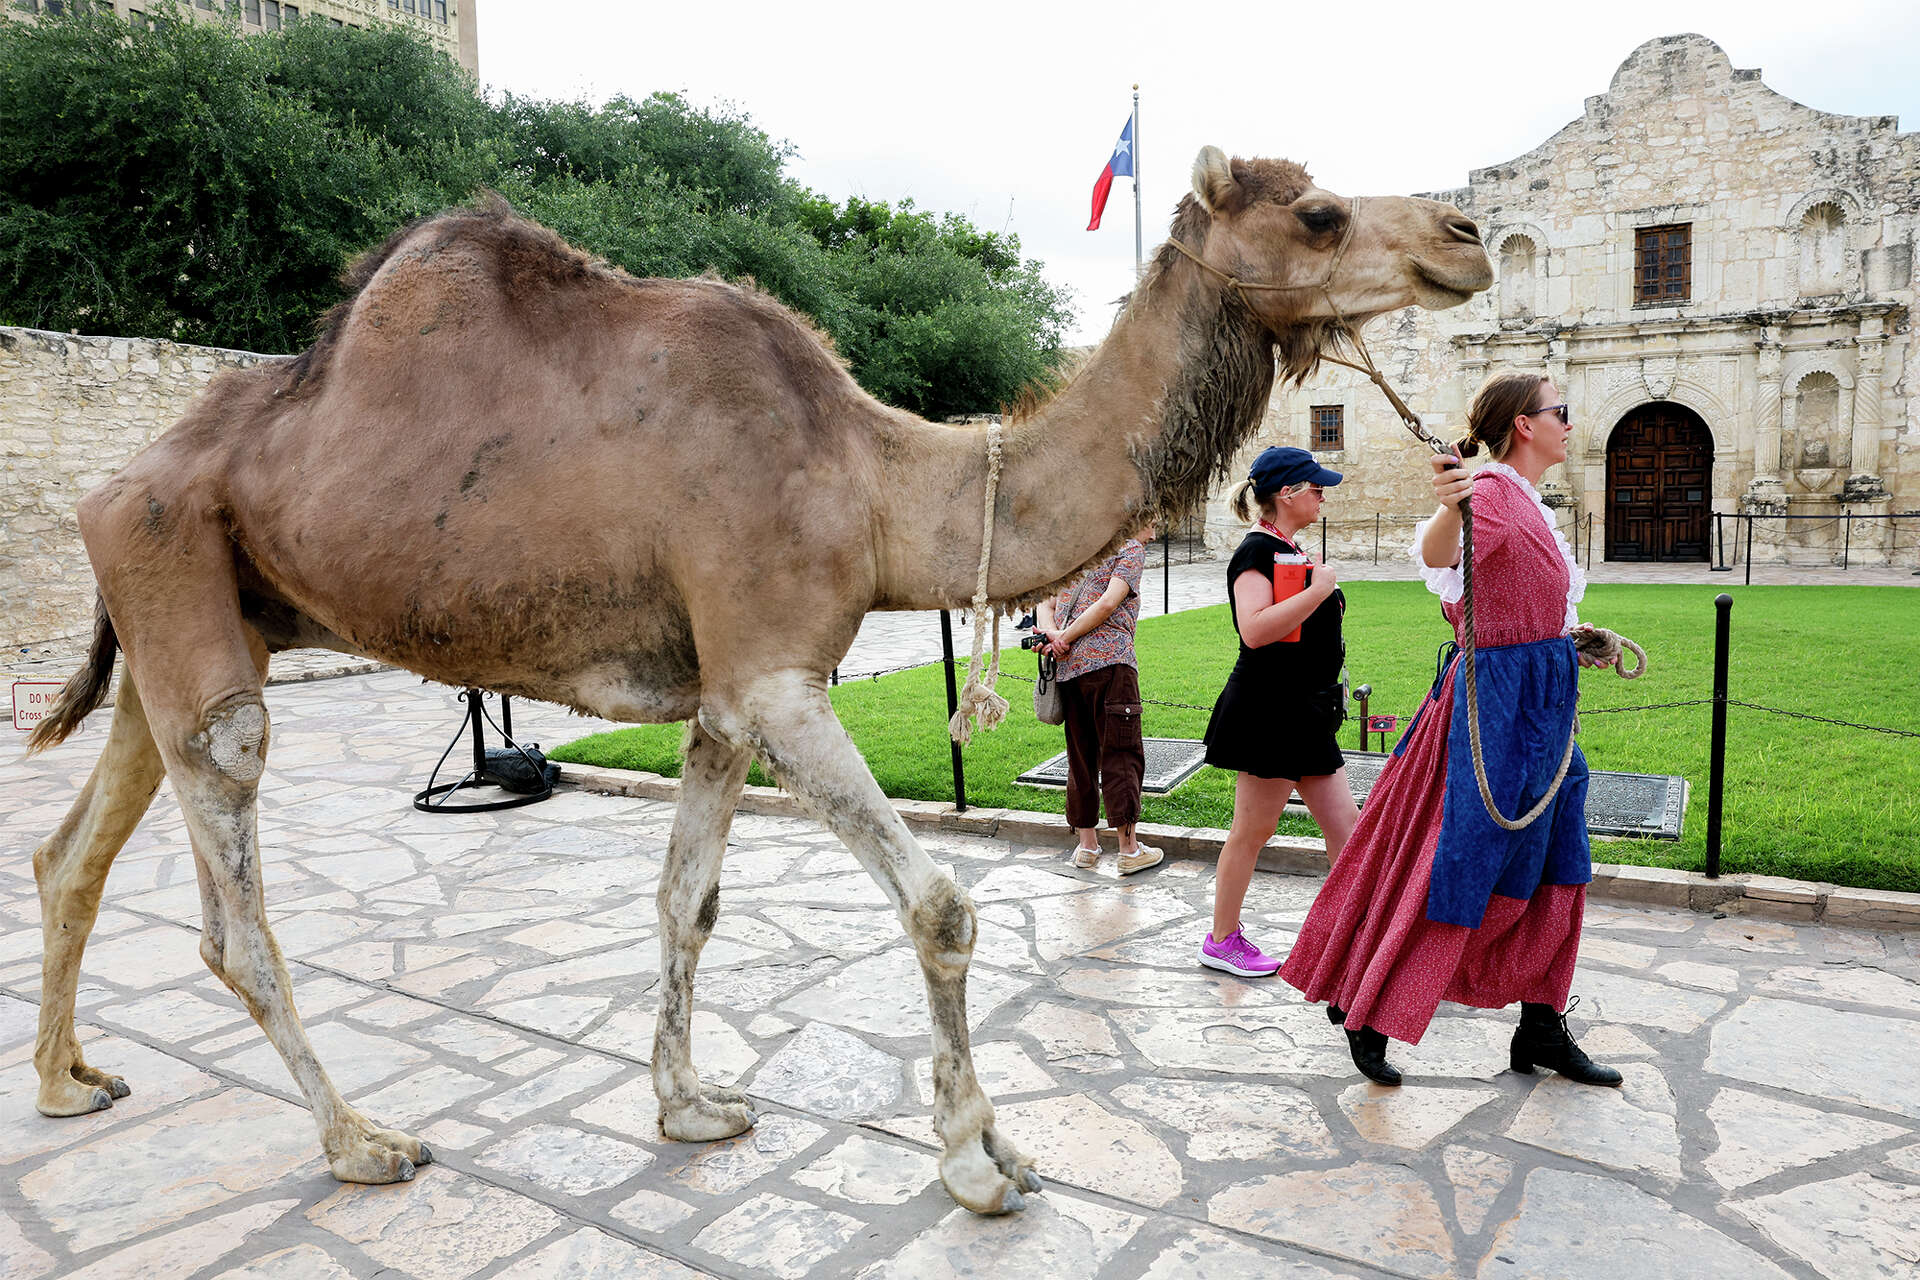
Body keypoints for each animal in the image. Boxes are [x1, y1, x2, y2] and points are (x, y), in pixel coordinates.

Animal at [24, 146, 1490, 1215]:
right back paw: (362, 1141)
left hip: (187, 617)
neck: (879, 481)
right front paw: (981, 1160)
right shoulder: (782, 675)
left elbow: (691, 901)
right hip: (184, 592)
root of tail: (114, 485)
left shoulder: (728, 695)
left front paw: (689, 1105)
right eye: (1318, 211)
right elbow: (944, 905)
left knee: (74, 849)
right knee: (230, 895)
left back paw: (67, 1083)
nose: (1467, 233)